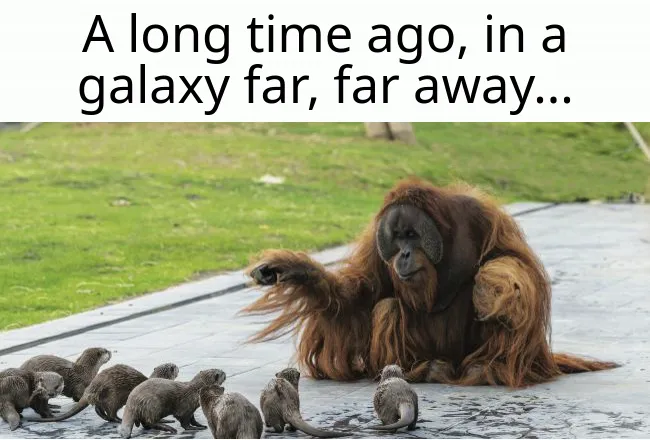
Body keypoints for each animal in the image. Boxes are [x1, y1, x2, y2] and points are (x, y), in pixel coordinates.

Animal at [23, 362, 179, 423]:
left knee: (99, 408)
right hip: (114, 395)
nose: (177, 366)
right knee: (111, 411)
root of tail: (92, 387)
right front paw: (167, 420)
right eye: (174, 367)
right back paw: (118, 420)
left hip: (105, 396)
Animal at [242, 178, 618, 387]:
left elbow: (515, 264)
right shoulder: (375, 242)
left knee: (507, 312)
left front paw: (491, 284)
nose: (404, 255)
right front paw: (292, 268)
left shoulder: (484, 216)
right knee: (388, 306)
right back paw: (415, 372)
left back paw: (486, 369)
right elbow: (360, 293)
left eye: (412, 235)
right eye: (396, 238)